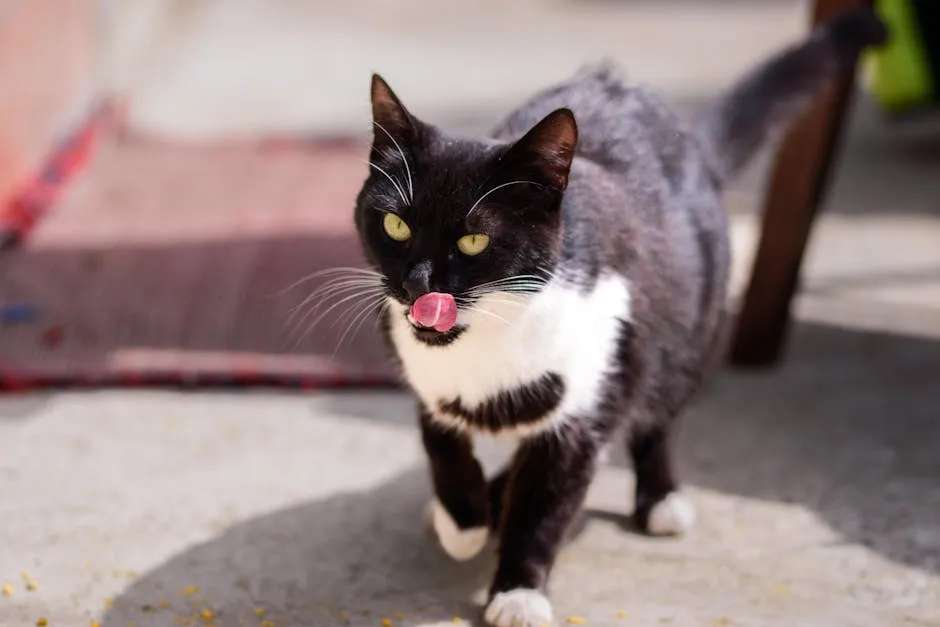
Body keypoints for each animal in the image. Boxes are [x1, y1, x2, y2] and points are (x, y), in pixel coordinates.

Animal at [348, 9, 884, 627]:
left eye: (474, 239)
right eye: (396, 226)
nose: (417, 287)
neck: (486, 343)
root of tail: (688, 142)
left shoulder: (590, 400)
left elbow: (546, 504)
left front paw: (519, 590)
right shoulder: (423, 382)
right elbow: (442, 446)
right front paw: (464, 521)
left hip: (686, 333)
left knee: (659, 418)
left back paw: (660, 499)